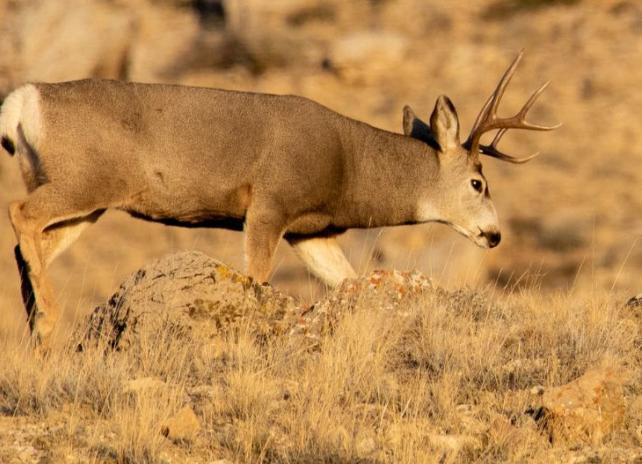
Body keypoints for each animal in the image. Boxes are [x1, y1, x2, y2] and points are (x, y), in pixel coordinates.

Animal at [0, 51, 559, 346]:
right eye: (478, 183)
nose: (495, 235)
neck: (349, 166)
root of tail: (24, 100)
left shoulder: (312, 232)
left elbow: (346, 280)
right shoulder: (270, 204)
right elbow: (257, 277)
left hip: (84, 199)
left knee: (30, 242)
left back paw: (36, 333)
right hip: (86, 179)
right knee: (19, 213)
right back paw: (47, 319)